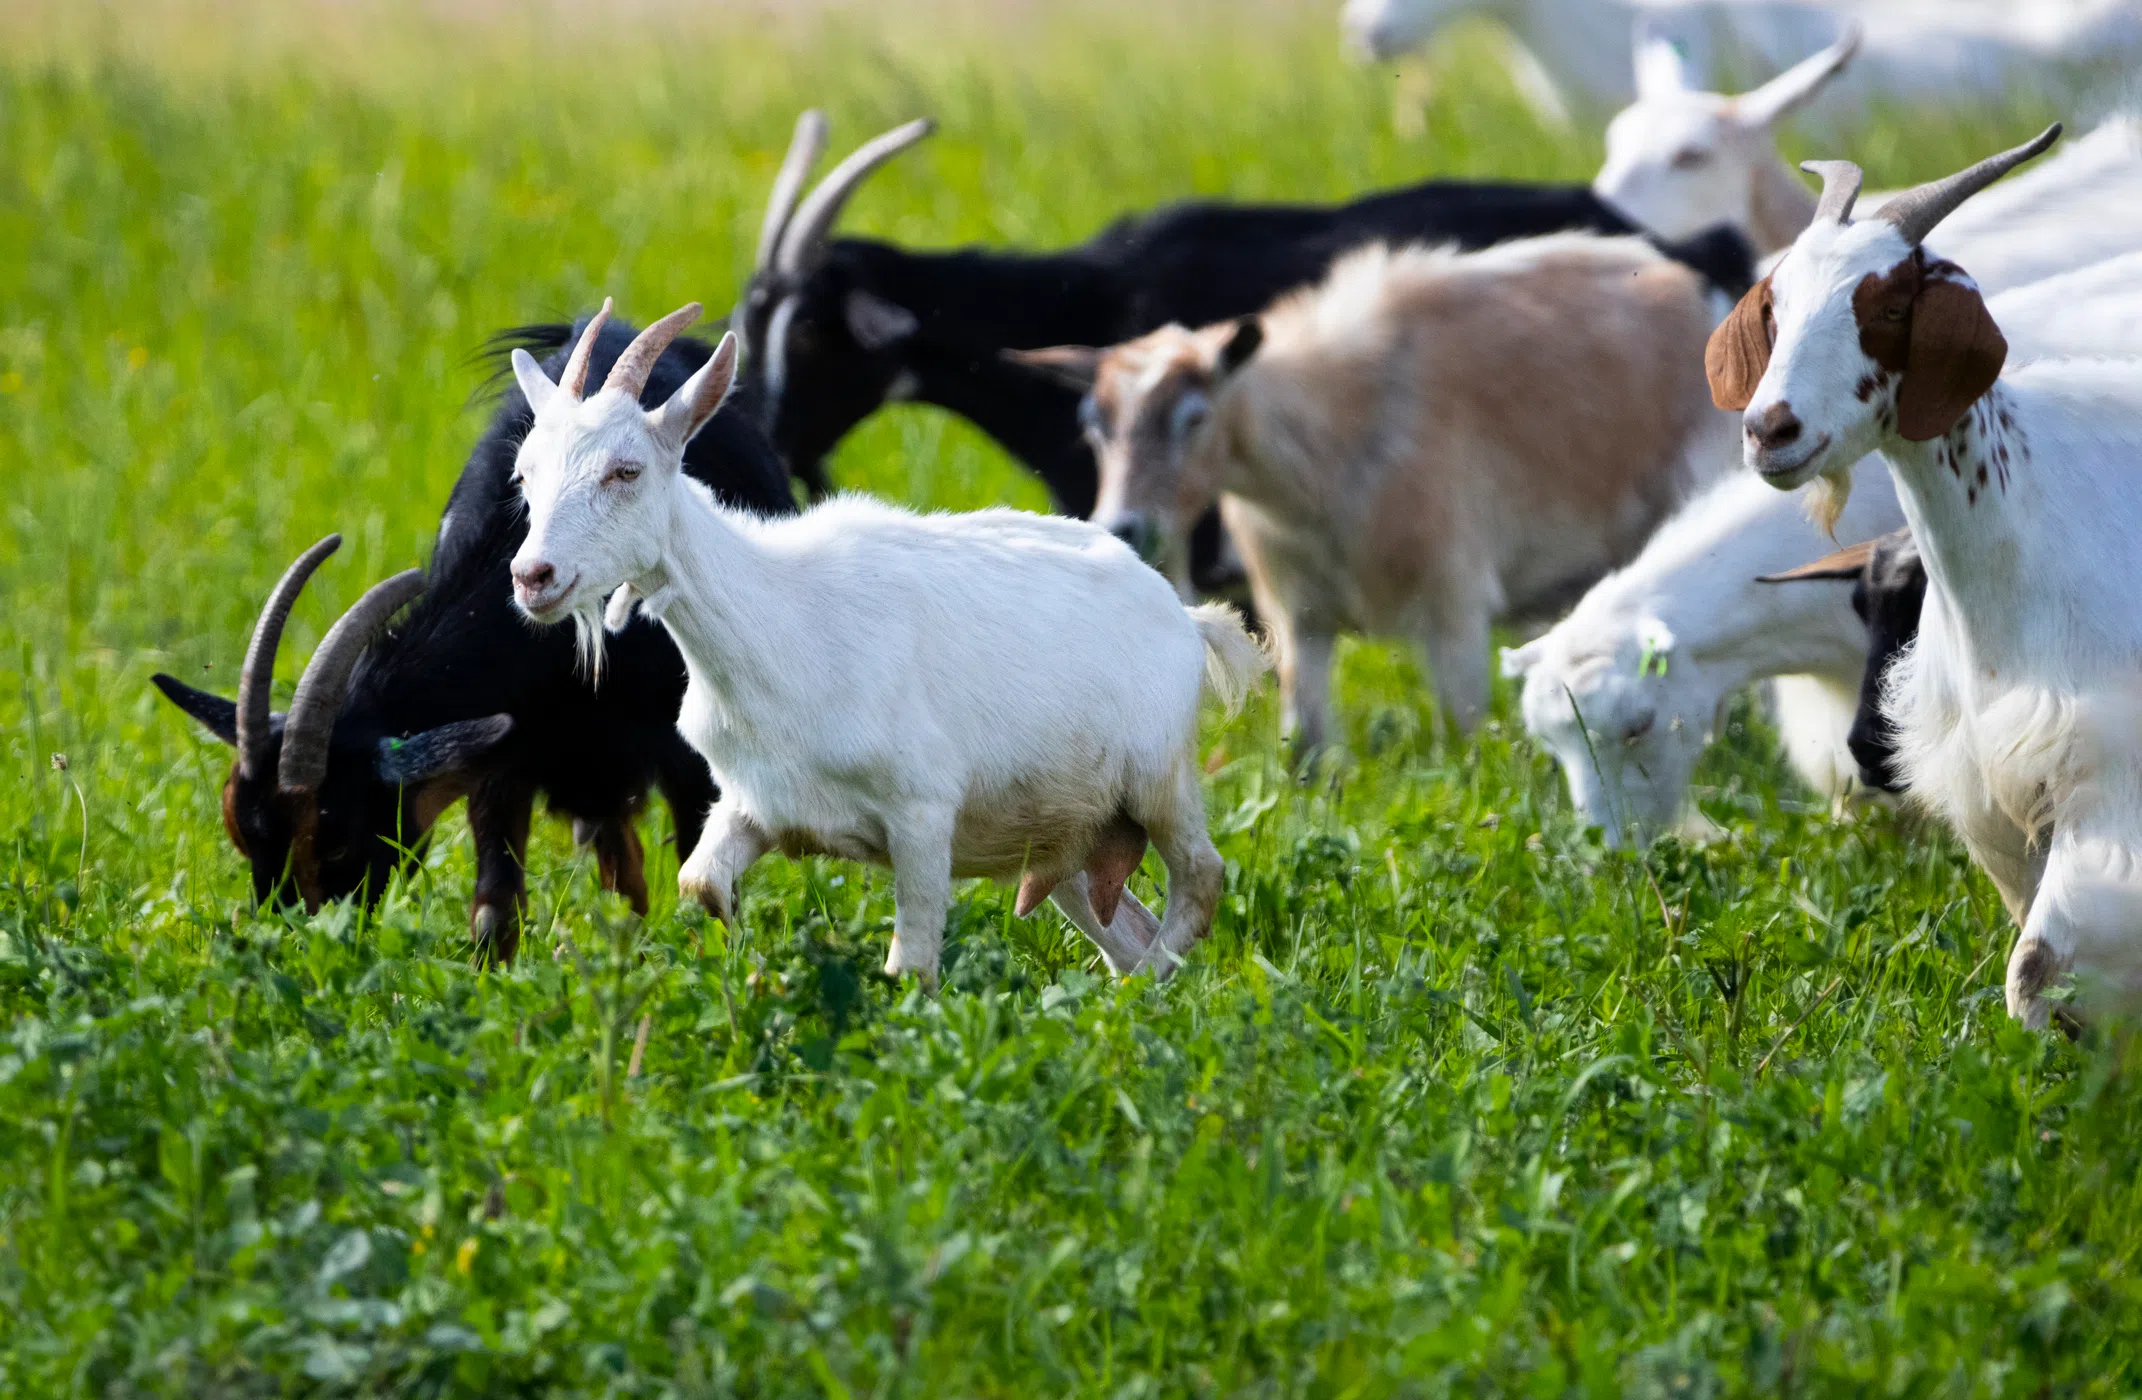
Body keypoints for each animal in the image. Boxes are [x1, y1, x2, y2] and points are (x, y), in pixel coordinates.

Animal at [152, 312, 795, 961]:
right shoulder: (504, 755)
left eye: (333, 834)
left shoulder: (692, 755)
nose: (297, 946)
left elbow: (706, 888)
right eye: (237, 830)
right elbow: (495, 910)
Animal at [506, 303, 1268, 987]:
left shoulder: (923, 814)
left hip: (1159, 780)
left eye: (626, 471)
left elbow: (912, 966)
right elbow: (702, 884)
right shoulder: (755, 802)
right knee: (1125, 927)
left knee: (1201, 880)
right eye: (525, 472)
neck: (777, 620)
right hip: (1066, 832)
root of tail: (1184, 618)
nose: (532, 575)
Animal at [1017, 233, 1734, 755]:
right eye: (1093, 423)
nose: (1123, 525)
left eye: (1194, 418)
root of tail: (1685, 287)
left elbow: (1461, 740)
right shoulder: (1298, 616)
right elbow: (1303, 750)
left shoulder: (1454, 603)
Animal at [1710, 123, 2142, 1028]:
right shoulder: (2000, 792)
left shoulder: (2106, 773)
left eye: (1888, 306)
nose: (1770, 430)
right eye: (1775, 306)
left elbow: (2034, 969)